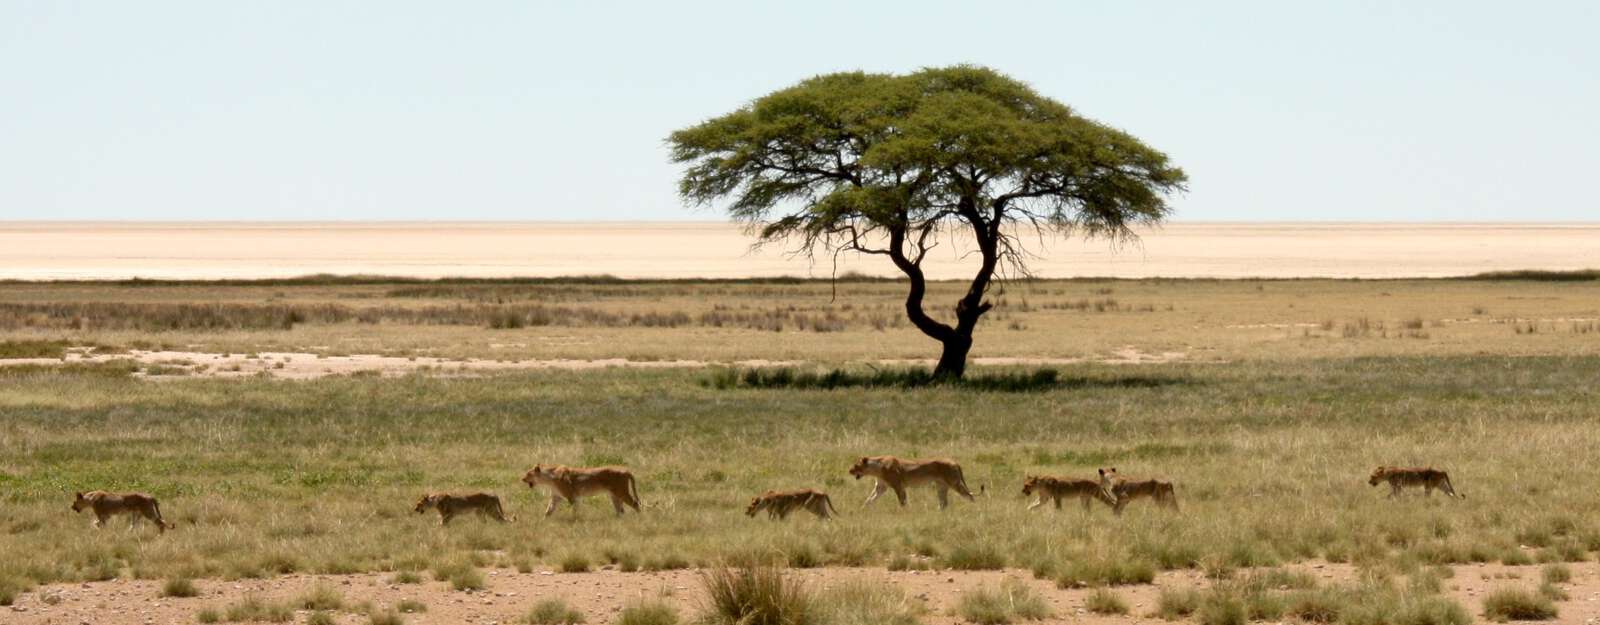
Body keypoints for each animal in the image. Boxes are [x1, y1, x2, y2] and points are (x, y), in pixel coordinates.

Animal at [848, 456, 980, 509]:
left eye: (856, 465)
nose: (849, 471)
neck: (875, 469)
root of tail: (955, 462)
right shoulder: (881, 488)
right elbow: (869, 499)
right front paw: (862, 509)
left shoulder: (898, 486)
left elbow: (902, 501)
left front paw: (905, 512)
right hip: (941, 485)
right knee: (944, 503)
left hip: (954, 482)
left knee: (969, 496)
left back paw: (974, 509)